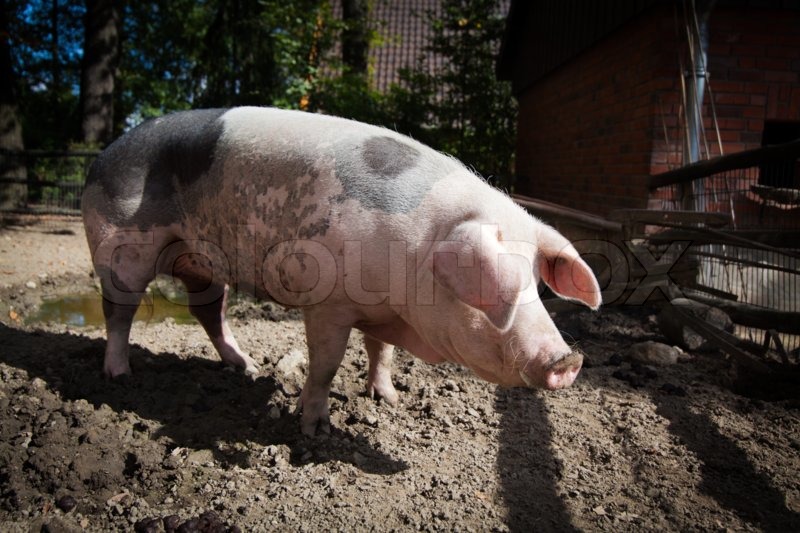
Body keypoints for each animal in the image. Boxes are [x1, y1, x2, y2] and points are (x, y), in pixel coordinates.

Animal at [81, 107, 601, 436]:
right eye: (493, 289)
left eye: (536, 285)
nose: (568, 361)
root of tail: (103, 154)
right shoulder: (327, 303)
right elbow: (327, 364)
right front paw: (316, 429)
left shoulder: (383, 310)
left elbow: (381, 353)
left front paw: (389, 400)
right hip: (119, 247)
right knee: (119, 311)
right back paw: (120, 377)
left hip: (203, 263)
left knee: (207, 312)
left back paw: (246, 367)